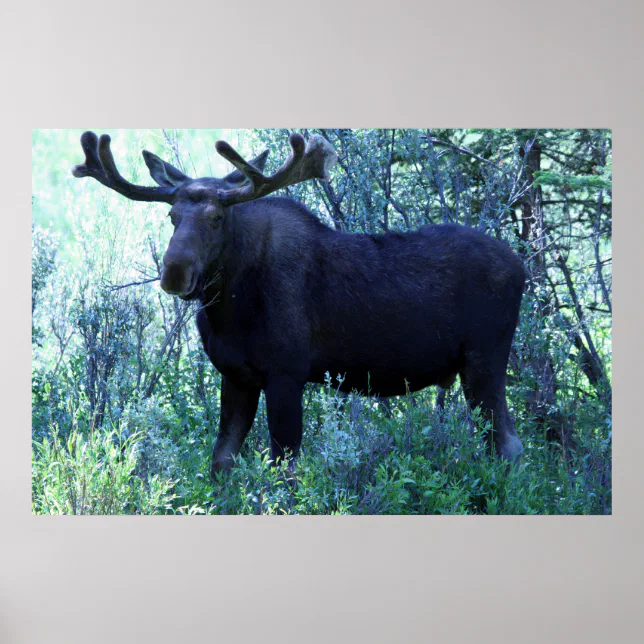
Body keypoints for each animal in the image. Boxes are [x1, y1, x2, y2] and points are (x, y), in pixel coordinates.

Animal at [73, 130, 525, 479]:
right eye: (171, 217)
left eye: (217, 217)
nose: (174, 272)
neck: (228, 308)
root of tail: (522, 267)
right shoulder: (236, 375)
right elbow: (221, 461)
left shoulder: (287, 373)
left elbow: (283, 468)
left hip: (484, 360)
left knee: (507, 444)